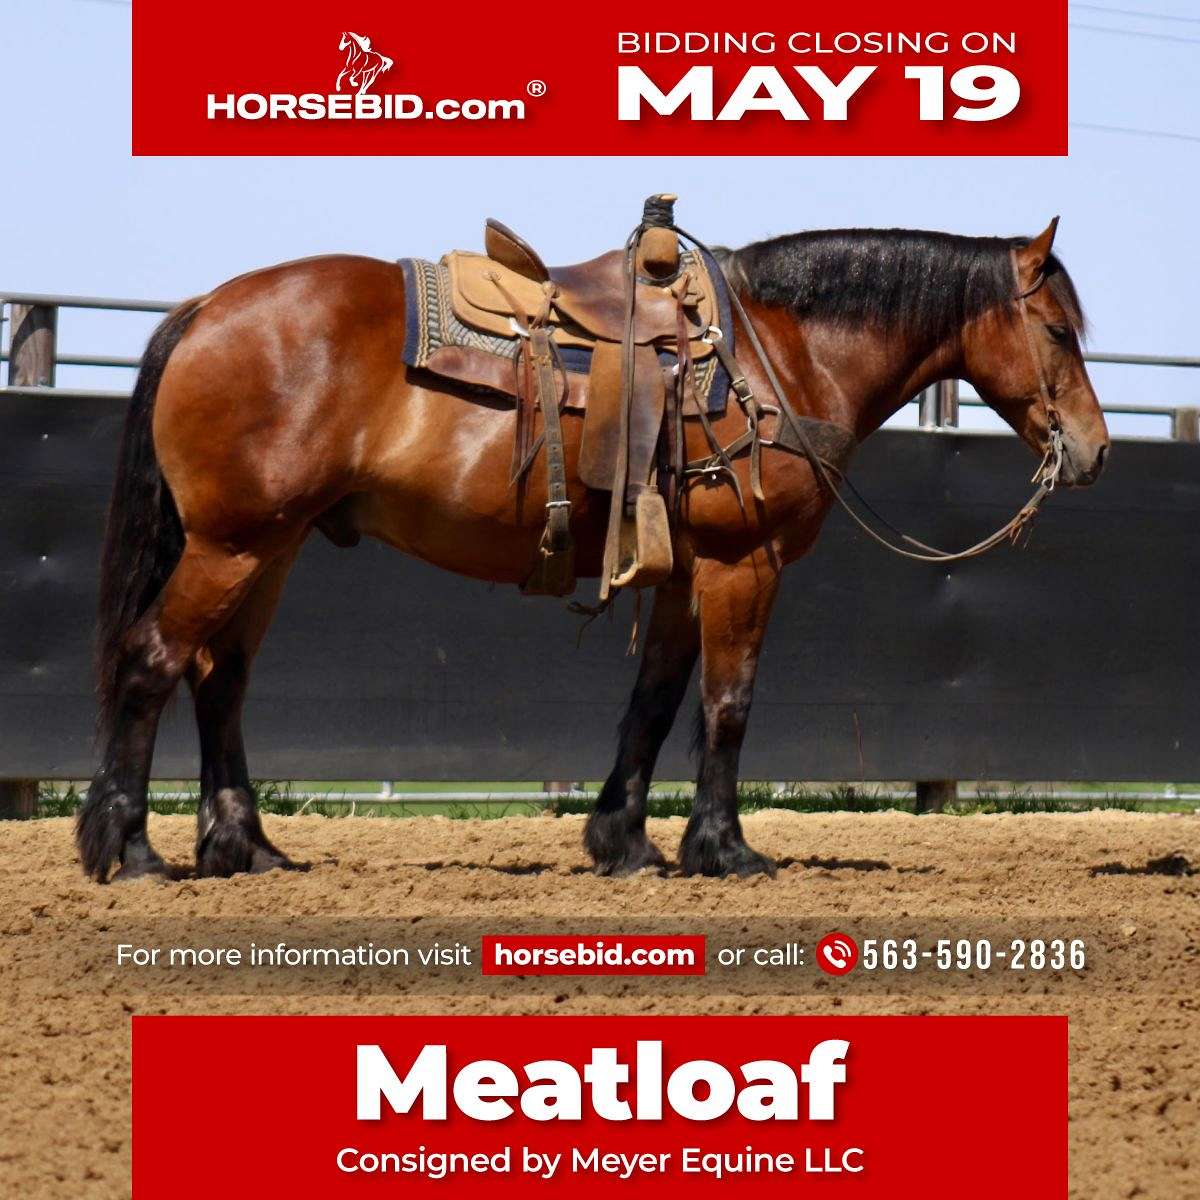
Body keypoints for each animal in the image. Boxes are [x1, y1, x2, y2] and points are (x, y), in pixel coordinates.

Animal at [76, 217, 1109, 883]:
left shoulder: (687, 572)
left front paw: (626, 843)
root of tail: (209, 307)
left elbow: (653, 702)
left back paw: (246, 849)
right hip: (233, 545)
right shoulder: (746, 563)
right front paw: (726, 851)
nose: (1094, 451)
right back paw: (129, 851)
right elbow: (728, 705)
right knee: (155, 661)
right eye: (1058, 329)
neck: (780, 353)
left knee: (221, 680)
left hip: (270, 547)